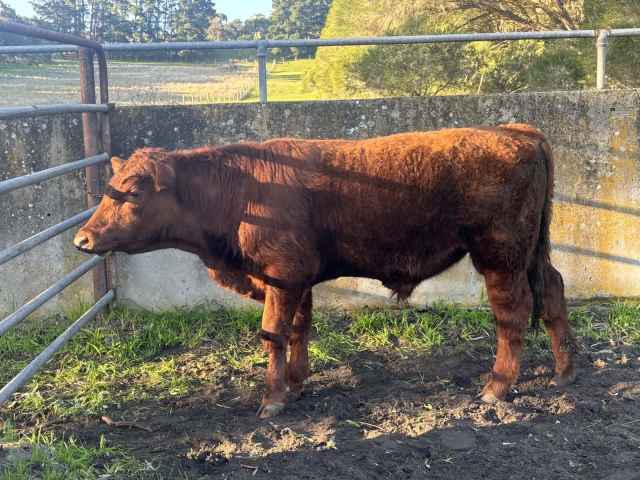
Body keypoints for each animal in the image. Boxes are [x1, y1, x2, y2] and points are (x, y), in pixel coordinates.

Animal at [74, 124, 576, 418]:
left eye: (134, 192)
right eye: (111, 186)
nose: (83, 239)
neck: (239, 189)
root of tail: (515, 130)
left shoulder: (281, 276)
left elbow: (273, 333)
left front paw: (273, 399)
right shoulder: (297, 281)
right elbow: (299, 329)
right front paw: (296, 385)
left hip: (500, 256)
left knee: (512, 313)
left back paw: (496, 387)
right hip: (531, 253)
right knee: (552, 290)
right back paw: (563, 372)